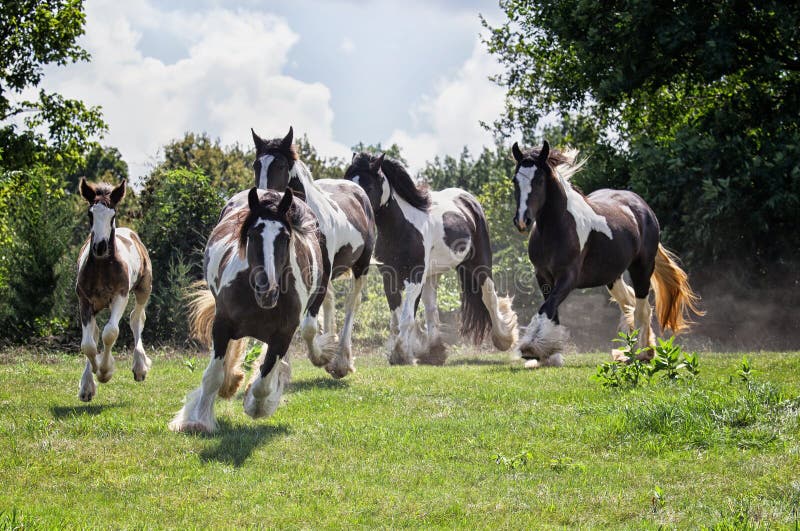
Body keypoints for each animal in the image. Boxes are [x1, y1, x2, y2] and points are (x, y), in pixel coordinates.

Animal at [75, 178, 153, 401]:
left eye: (113, 215)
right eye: (90, 214)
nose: (100, 246)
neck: (103, 267)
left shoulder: (120, 295)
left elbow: (110, 332)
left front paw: (105, 371)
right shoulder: (84, 300)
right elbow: (88, 344)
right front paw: (91, 379)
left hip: (144, 289)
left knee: (136, 318)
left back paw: (140, 366)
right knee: (93, 333)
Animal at [169, 188, 327, 433]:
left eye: (285, 237)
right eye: (253, 235)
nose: (267, 291)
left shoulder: (283, 335)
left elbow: (264, 381)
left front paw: (256, 405)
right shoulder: (222, 325)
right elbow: (212, 375)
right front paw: (198, 420)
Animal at [251, 127, 376, 378]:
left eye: (280, 165)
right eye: (256, 165)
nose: (262, 199)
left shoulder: (322, 275)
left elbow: (308, 327)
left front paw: (322, 356)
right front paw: (280, 370)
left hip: (361, 266)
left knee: (351, 303)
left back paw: (340, 361)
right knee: (331, 300)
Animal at [343, 152, 518, 365]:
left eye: (368, 186)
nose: (355, 210)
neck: (401, 228)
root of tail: (468, 200)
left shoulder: (415, 275)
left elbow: (406, 317)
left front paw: (402, 354)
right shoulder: (389, 275)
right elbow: (397, 318)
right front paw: (404, 352)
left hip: (480, 264)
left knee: (489, 297)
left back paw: (503, 339)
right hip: (432, 274)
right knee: (431, 309)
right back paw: (435, 352)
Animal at [510, 140, 704, 367]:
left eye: (539, 180)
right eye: (515, 180)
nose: (522, 221)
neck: (557, 227)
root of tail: (643, 208)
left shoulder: (568, 277)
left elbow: (547, 307)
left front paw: (531, 348)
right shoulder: (543, 276)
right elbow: (551, 308)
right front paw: (550, 355)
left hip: (642, 268)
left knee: (642, 307)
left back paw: (642, 353)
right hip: (613, 276)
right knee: (629, 303)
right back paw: (636, 350)